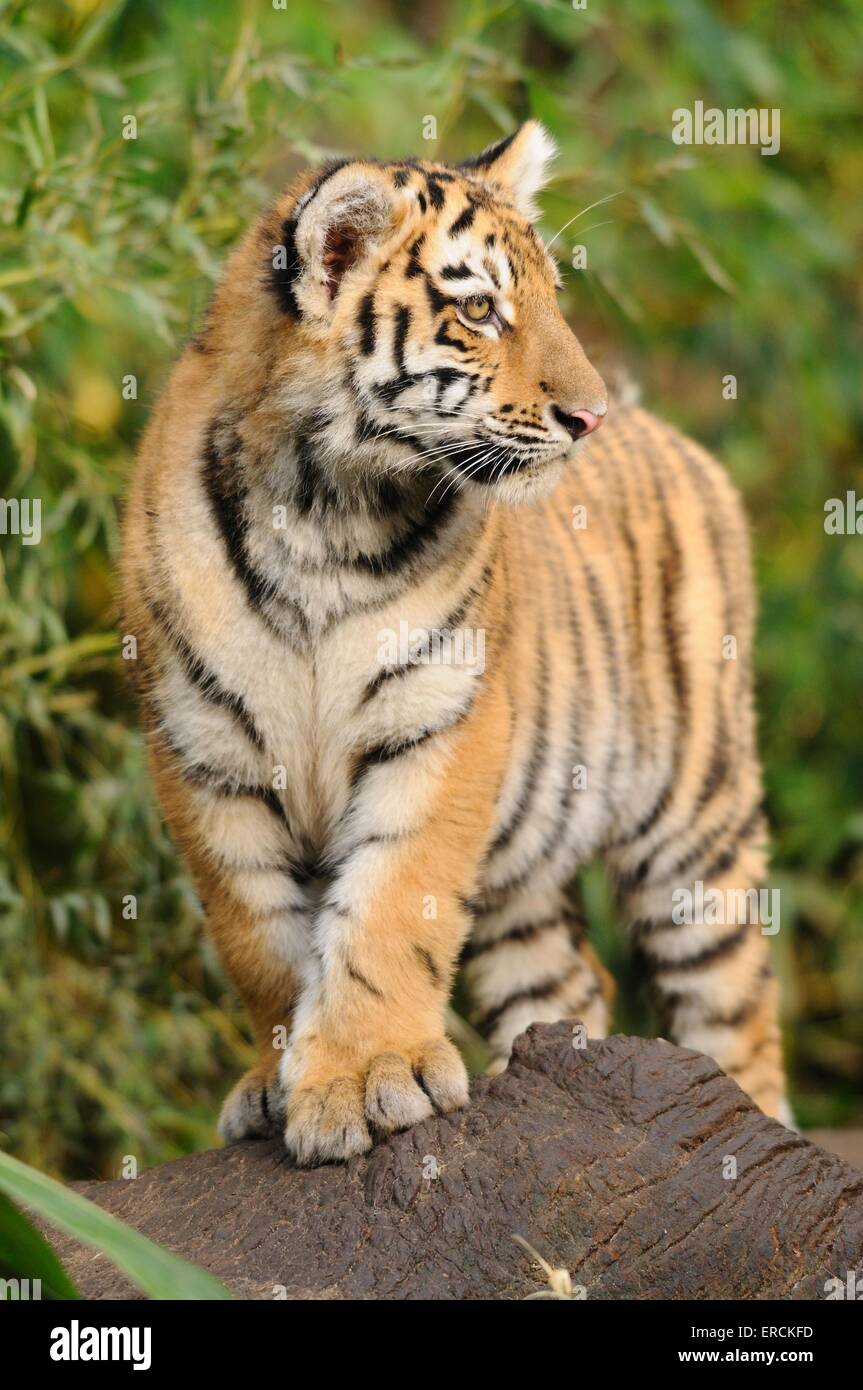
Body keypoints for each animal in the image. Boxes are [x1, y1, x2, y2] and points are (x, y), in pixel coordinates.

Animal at [120, 120, 790, 1166]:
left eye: (553, 299)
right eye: (479, 310)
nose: (588, 417)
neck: (323, 510)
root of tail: (674, 438)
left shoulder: (439, 727)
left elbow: (392, 907)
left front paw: (368, 1077)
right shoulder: (204, 752)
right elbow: (256, 932)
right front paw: (276, 1082)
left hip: (694, 826)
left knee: (736, 1009)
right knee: (569, 981)